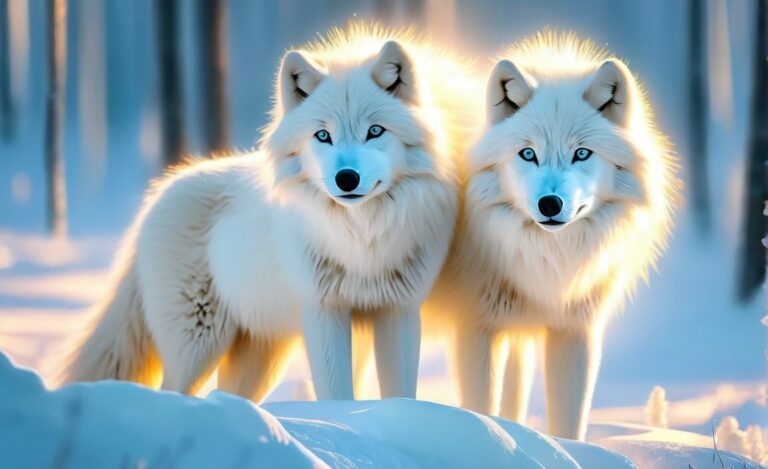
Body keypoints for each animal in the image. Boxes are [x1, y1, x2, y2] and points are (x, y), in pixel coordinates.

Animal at [63, 23, 476, 402]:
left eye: (375, 131)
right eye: (322, 136)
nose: (346, 178)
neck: (361, 241)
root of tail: (155, 198)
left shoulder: (398, 311)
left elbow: (401, 395)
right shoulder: (322, 312)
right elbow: (337, 395)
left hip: (260, 358)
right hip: (198, 346)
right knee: (175, 391)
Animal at [427, 32, 678, 440]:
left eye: (582, 154)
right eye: (528, 154)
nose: (550, 203)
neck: (546, 260)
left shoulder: (574, 332)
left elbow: (569, 424)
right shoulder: (476, 331)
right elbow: (480, 410)